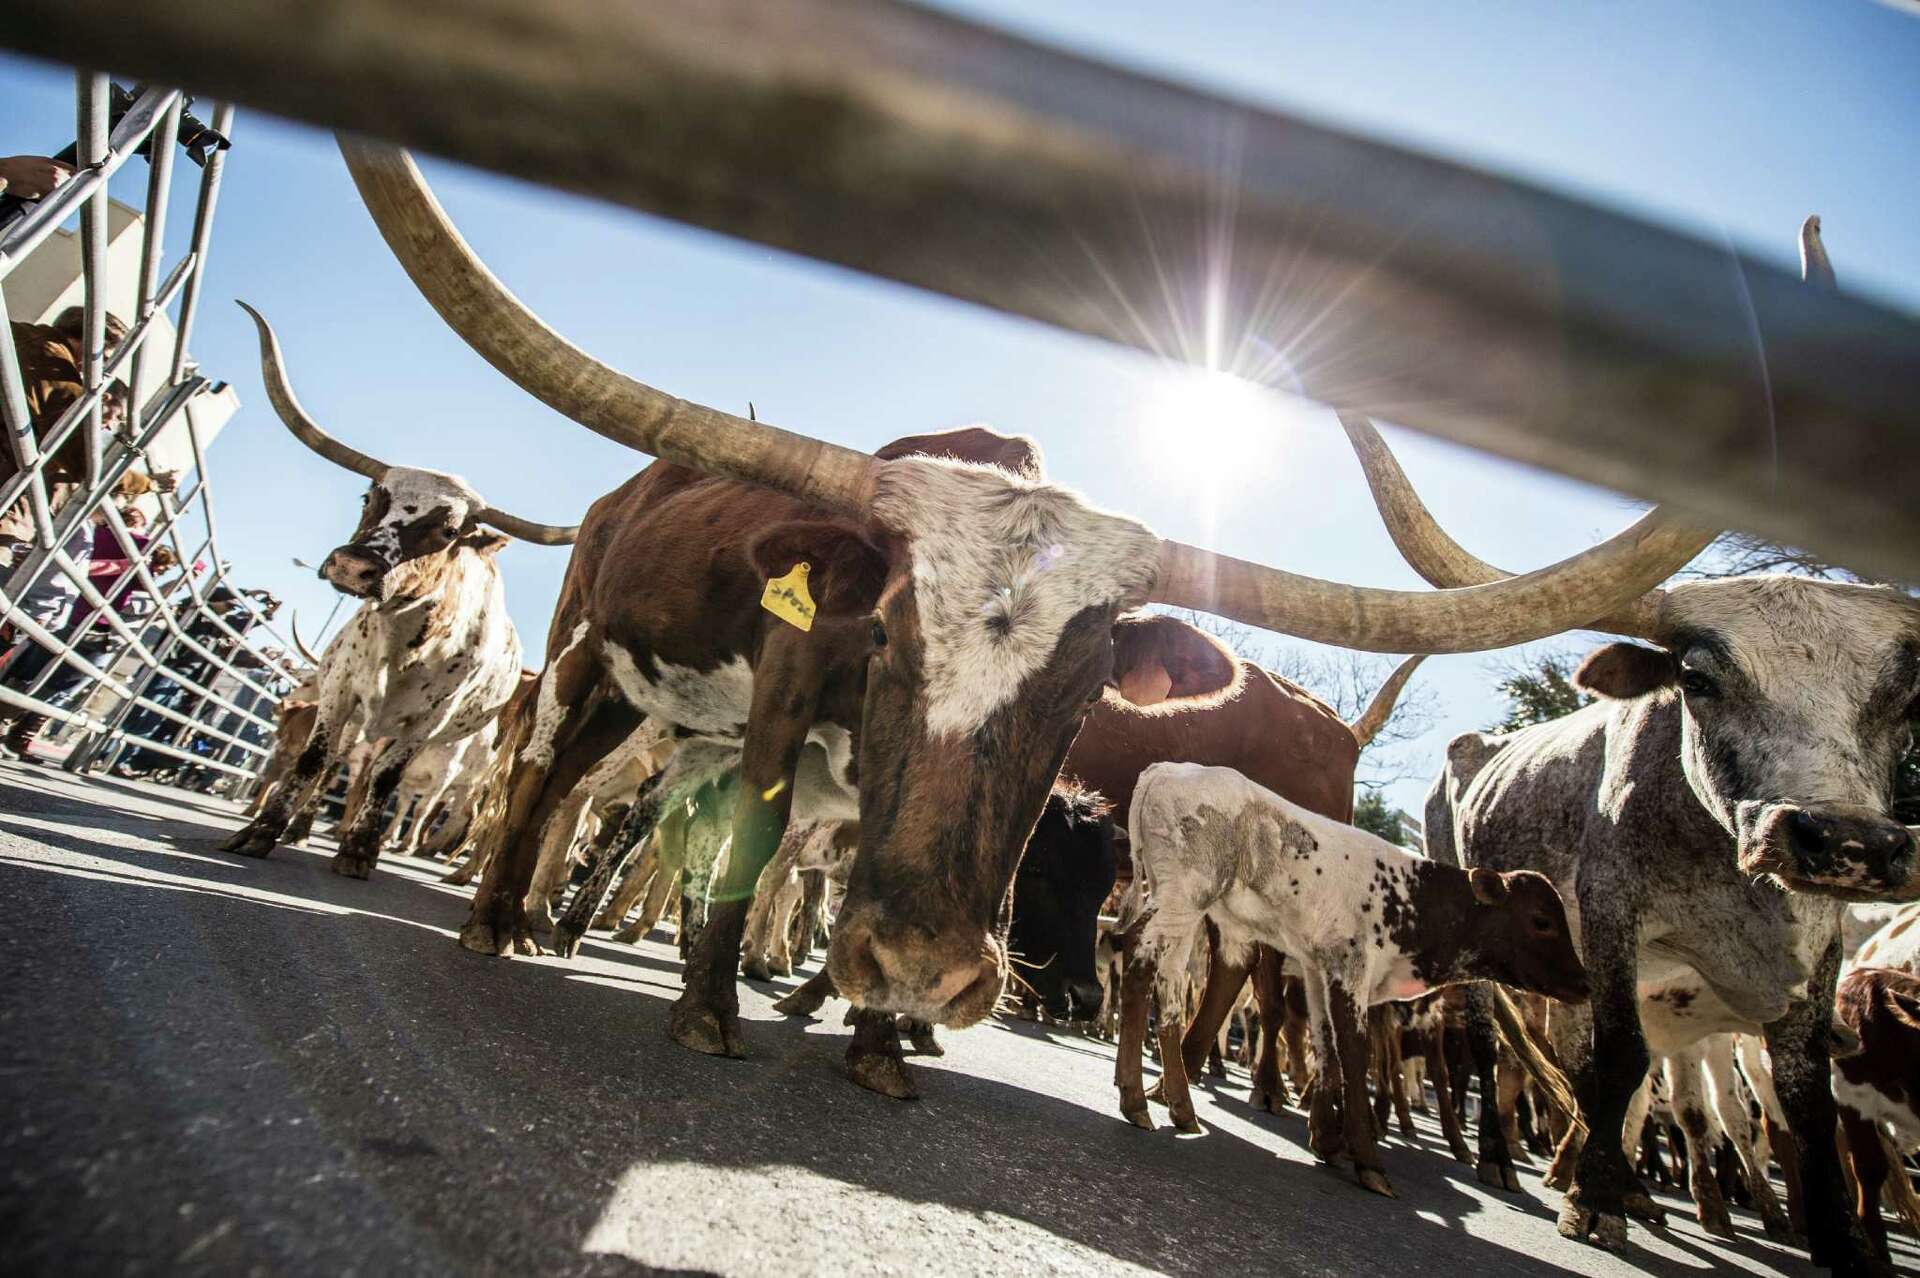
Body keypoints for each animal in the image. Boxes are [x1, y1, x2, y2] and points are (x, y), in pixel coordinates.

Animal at [216, 304, 574, 879]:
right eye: (370, 496)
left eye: (449, 530)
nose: (353, 566)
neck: (406, 642)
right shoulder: (340, 690)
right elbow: (315, 761)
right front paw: (264, 830)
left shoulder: (429, 721)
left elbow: (387, 779)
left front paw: (360, 850)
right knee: (340, 766)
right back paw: (303, 825)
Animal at [337, 139, 1708, 1097]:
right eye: (882, 634)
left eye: (1085, 688)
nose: (917, 968)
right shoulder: (782, 693)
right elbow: (754, 836)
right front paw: (714, 1012)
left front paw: (881, 1039)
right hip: (586, 655)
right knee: (542, 776)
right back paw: (495, 920)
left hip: (659, 707)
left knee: (597, 789)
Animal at [1121, 761, 1589, 1196]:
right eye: (1542, 921)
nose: (1584, 984)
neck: (1413, 899)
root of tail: (1166, 769)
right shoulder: (1352, 970)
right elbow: (1355, 1053)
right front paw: (1367, 1160)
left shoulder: (1318, 970)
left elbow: (1328, 1047)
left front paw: (1328, 1139)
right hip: (1182, 898)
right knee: (1137, 962)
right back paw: (1136, 1099)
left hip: (1181, 910)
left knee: (1169, 996)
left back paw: (1180, 1107)